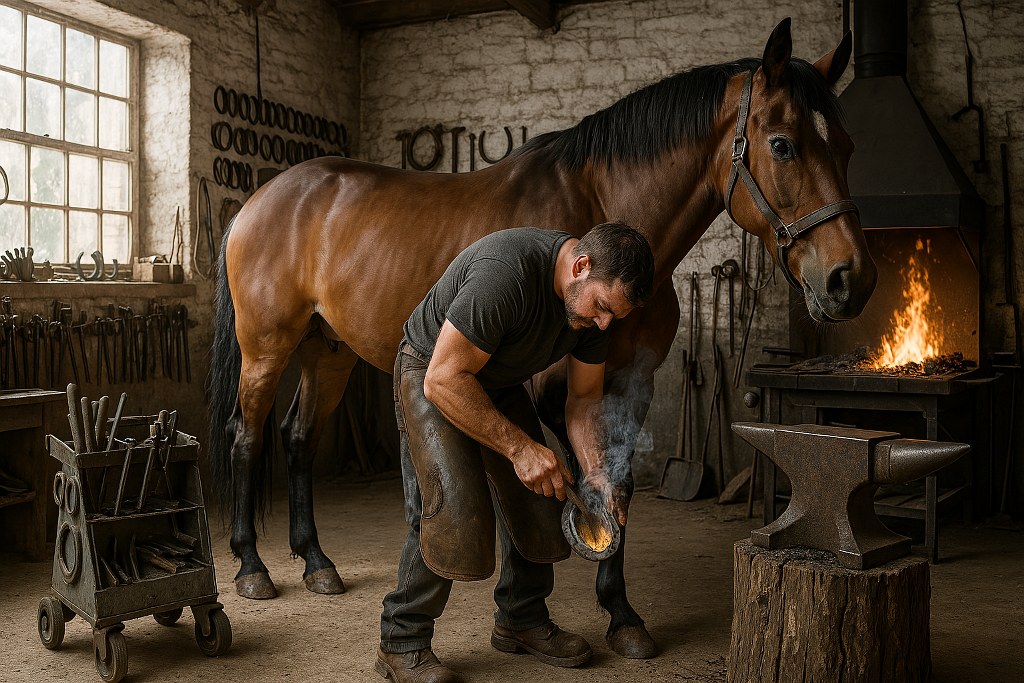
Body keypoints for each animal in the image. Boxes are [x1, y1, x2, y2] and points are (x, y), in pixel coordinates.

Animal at [208, 18, 876, 658]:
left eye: (847, 147)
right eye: (783, 145)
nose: (852, 279)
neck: (600, 210)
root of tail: (258, 200)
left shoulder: (629, 380)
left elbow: (612, 478)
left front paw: (622, 616)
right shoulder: (538, 388)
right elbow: (536, 480)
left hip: (328, 351)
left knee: (298, 438)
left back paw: (317, 562)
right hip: (267, 348)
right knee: (246, 436)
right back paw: (252, 568)